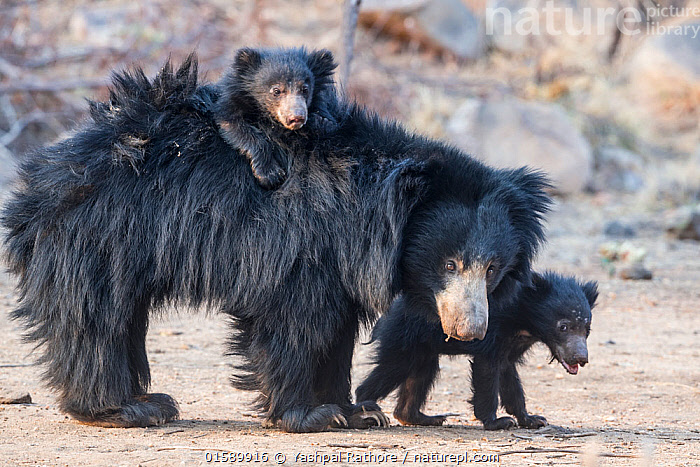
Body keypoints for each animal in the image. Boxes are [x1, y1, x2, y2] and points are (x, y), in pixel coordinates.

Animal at [214, 47, 338, 189]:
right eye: (276, 91)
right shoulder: (232, 102)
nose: (297, 117)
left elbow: (329, 123)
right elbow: (233, 125)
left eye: (305, 89)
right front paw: (271, 176)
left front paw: (319, 121)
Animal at [356, 271, 598, 430]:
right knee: (391, 369)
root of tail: (387, 311)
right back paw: (368, 409)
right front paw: (498, 422)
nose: (581, 358)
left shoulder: (511, 346)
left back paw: (423, 417)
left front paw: (532, 419)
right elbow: (487, 374)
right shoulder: (491, 333)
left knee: (421, 374)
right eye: (563, 326)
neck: (523, 319)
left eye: (587, 329)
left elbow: (510, 378)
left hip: (422, 348)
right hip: (404, 336)